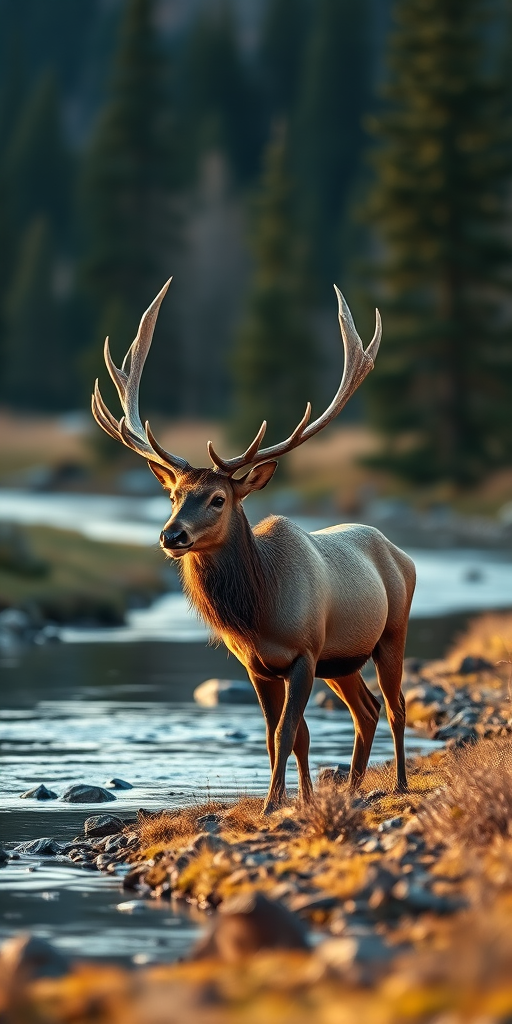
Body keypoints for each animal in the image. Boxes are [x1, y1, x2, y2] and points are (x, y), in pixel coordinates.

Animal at [92, 279, 416, 813]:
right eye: (175, 494)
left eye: (219, 498)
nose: (171, 535)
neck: (258, 611)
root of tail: (402, 554)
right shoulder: (257, 666)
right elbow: (283, 735)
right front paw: (294, 800)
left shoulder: (304, 652)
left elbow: (286, 733)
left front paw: (270, 804)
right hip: (341, 661)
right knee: (365, 711)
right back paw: (351, 786)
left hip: (391, 633)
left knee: (396, 706)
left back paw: (402, 784)